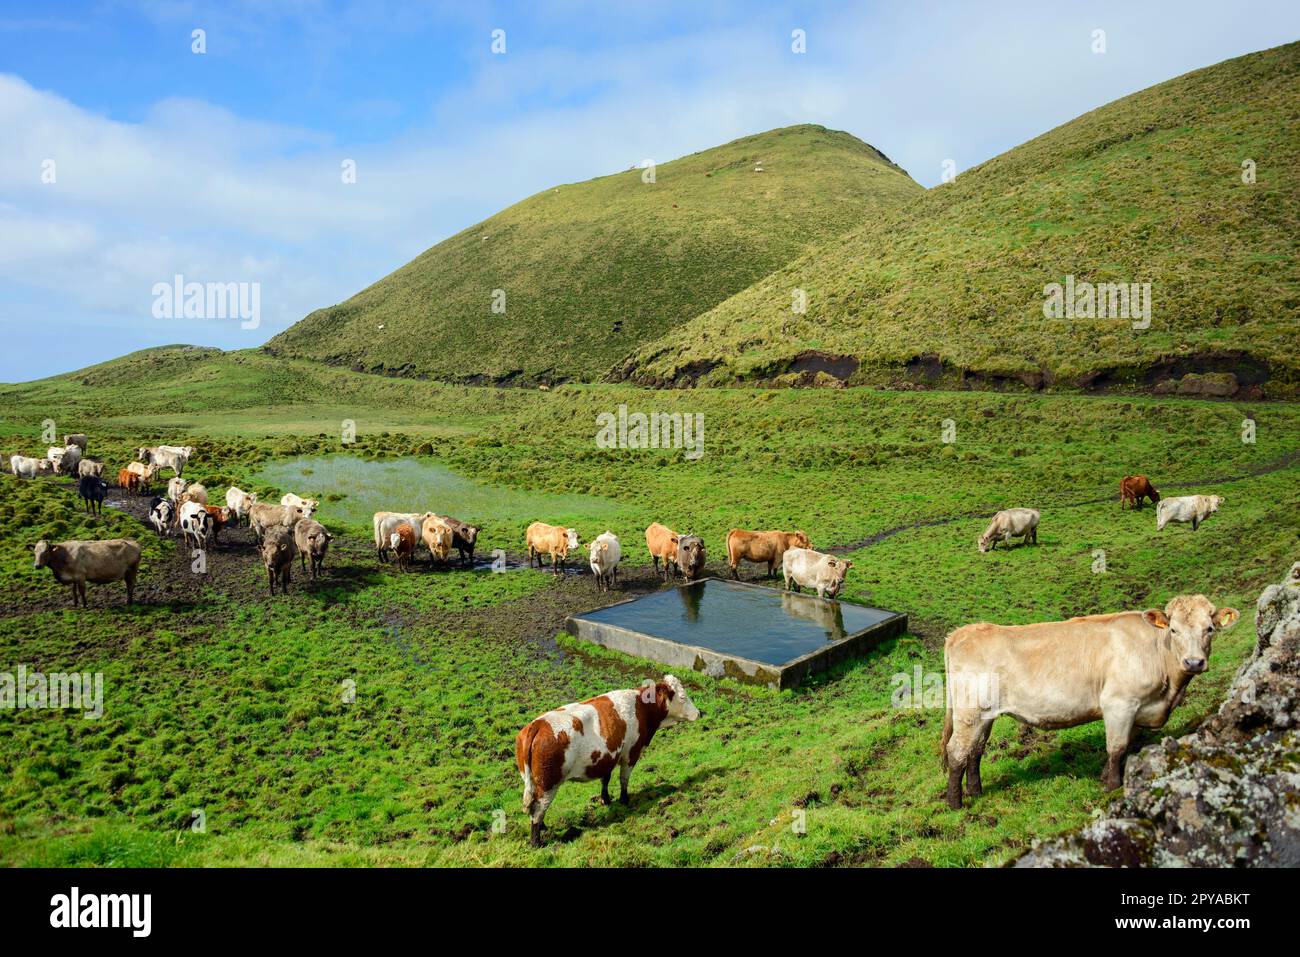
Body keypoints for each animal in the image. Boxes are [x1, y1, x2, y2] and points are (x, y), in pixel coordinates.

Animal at [515, 675, 702, 847]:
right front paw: (624, 800)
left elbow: (606, 779)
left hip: (533, 781)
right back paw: (536, 842)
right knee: (538, 809)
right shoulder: (631, 753)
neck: (641, 708)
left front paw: (605, 800)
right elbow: (624, 779)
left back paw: (543, 826)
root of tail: (538, 725)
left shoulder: (609, 756)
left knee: (535, 806)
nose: (700, 713)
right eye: (683, 697)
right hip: (548, 784)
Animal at [941, 595, 1240, 808]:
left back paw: (976, 791)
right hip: (970, 712)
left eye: (1209, 629)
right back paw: (956, 803)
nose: (1194, 662)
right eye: (1174, 630)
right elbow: (1116, 747)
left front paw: (1106, 776)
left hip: (985, 715)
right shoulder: (1119, 703)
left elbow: (1125, 745)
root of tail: (963, 632)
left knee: (975, 750)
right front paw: (1112, 786)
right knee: (957, 751)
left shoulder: (1136, 709)